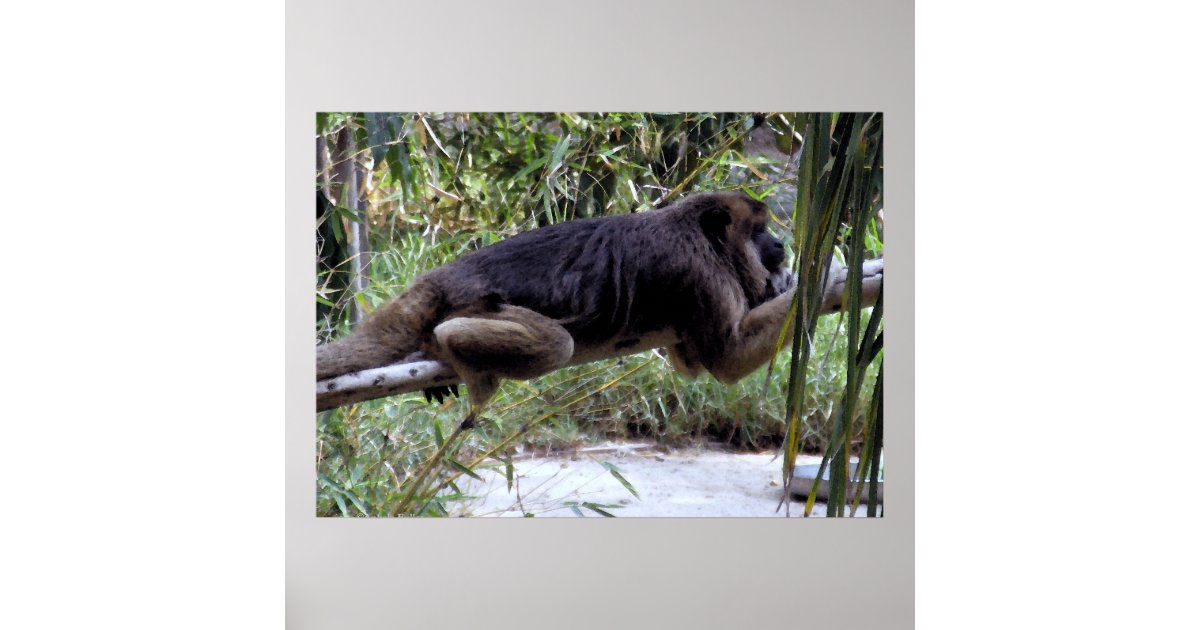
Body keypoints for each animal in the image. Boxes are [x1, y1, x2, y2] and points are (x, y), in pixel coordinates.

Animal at [316, 191, 879, 420]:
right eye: (761, 232)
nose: (781, 244)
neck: (702, 236)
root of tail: (447, 272)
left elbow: (694, 362)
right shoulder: (699, 272)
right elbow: (726, 360)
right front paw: (821, 276)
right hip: (477, 302)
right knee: (554, 344)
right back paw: (447, 342)